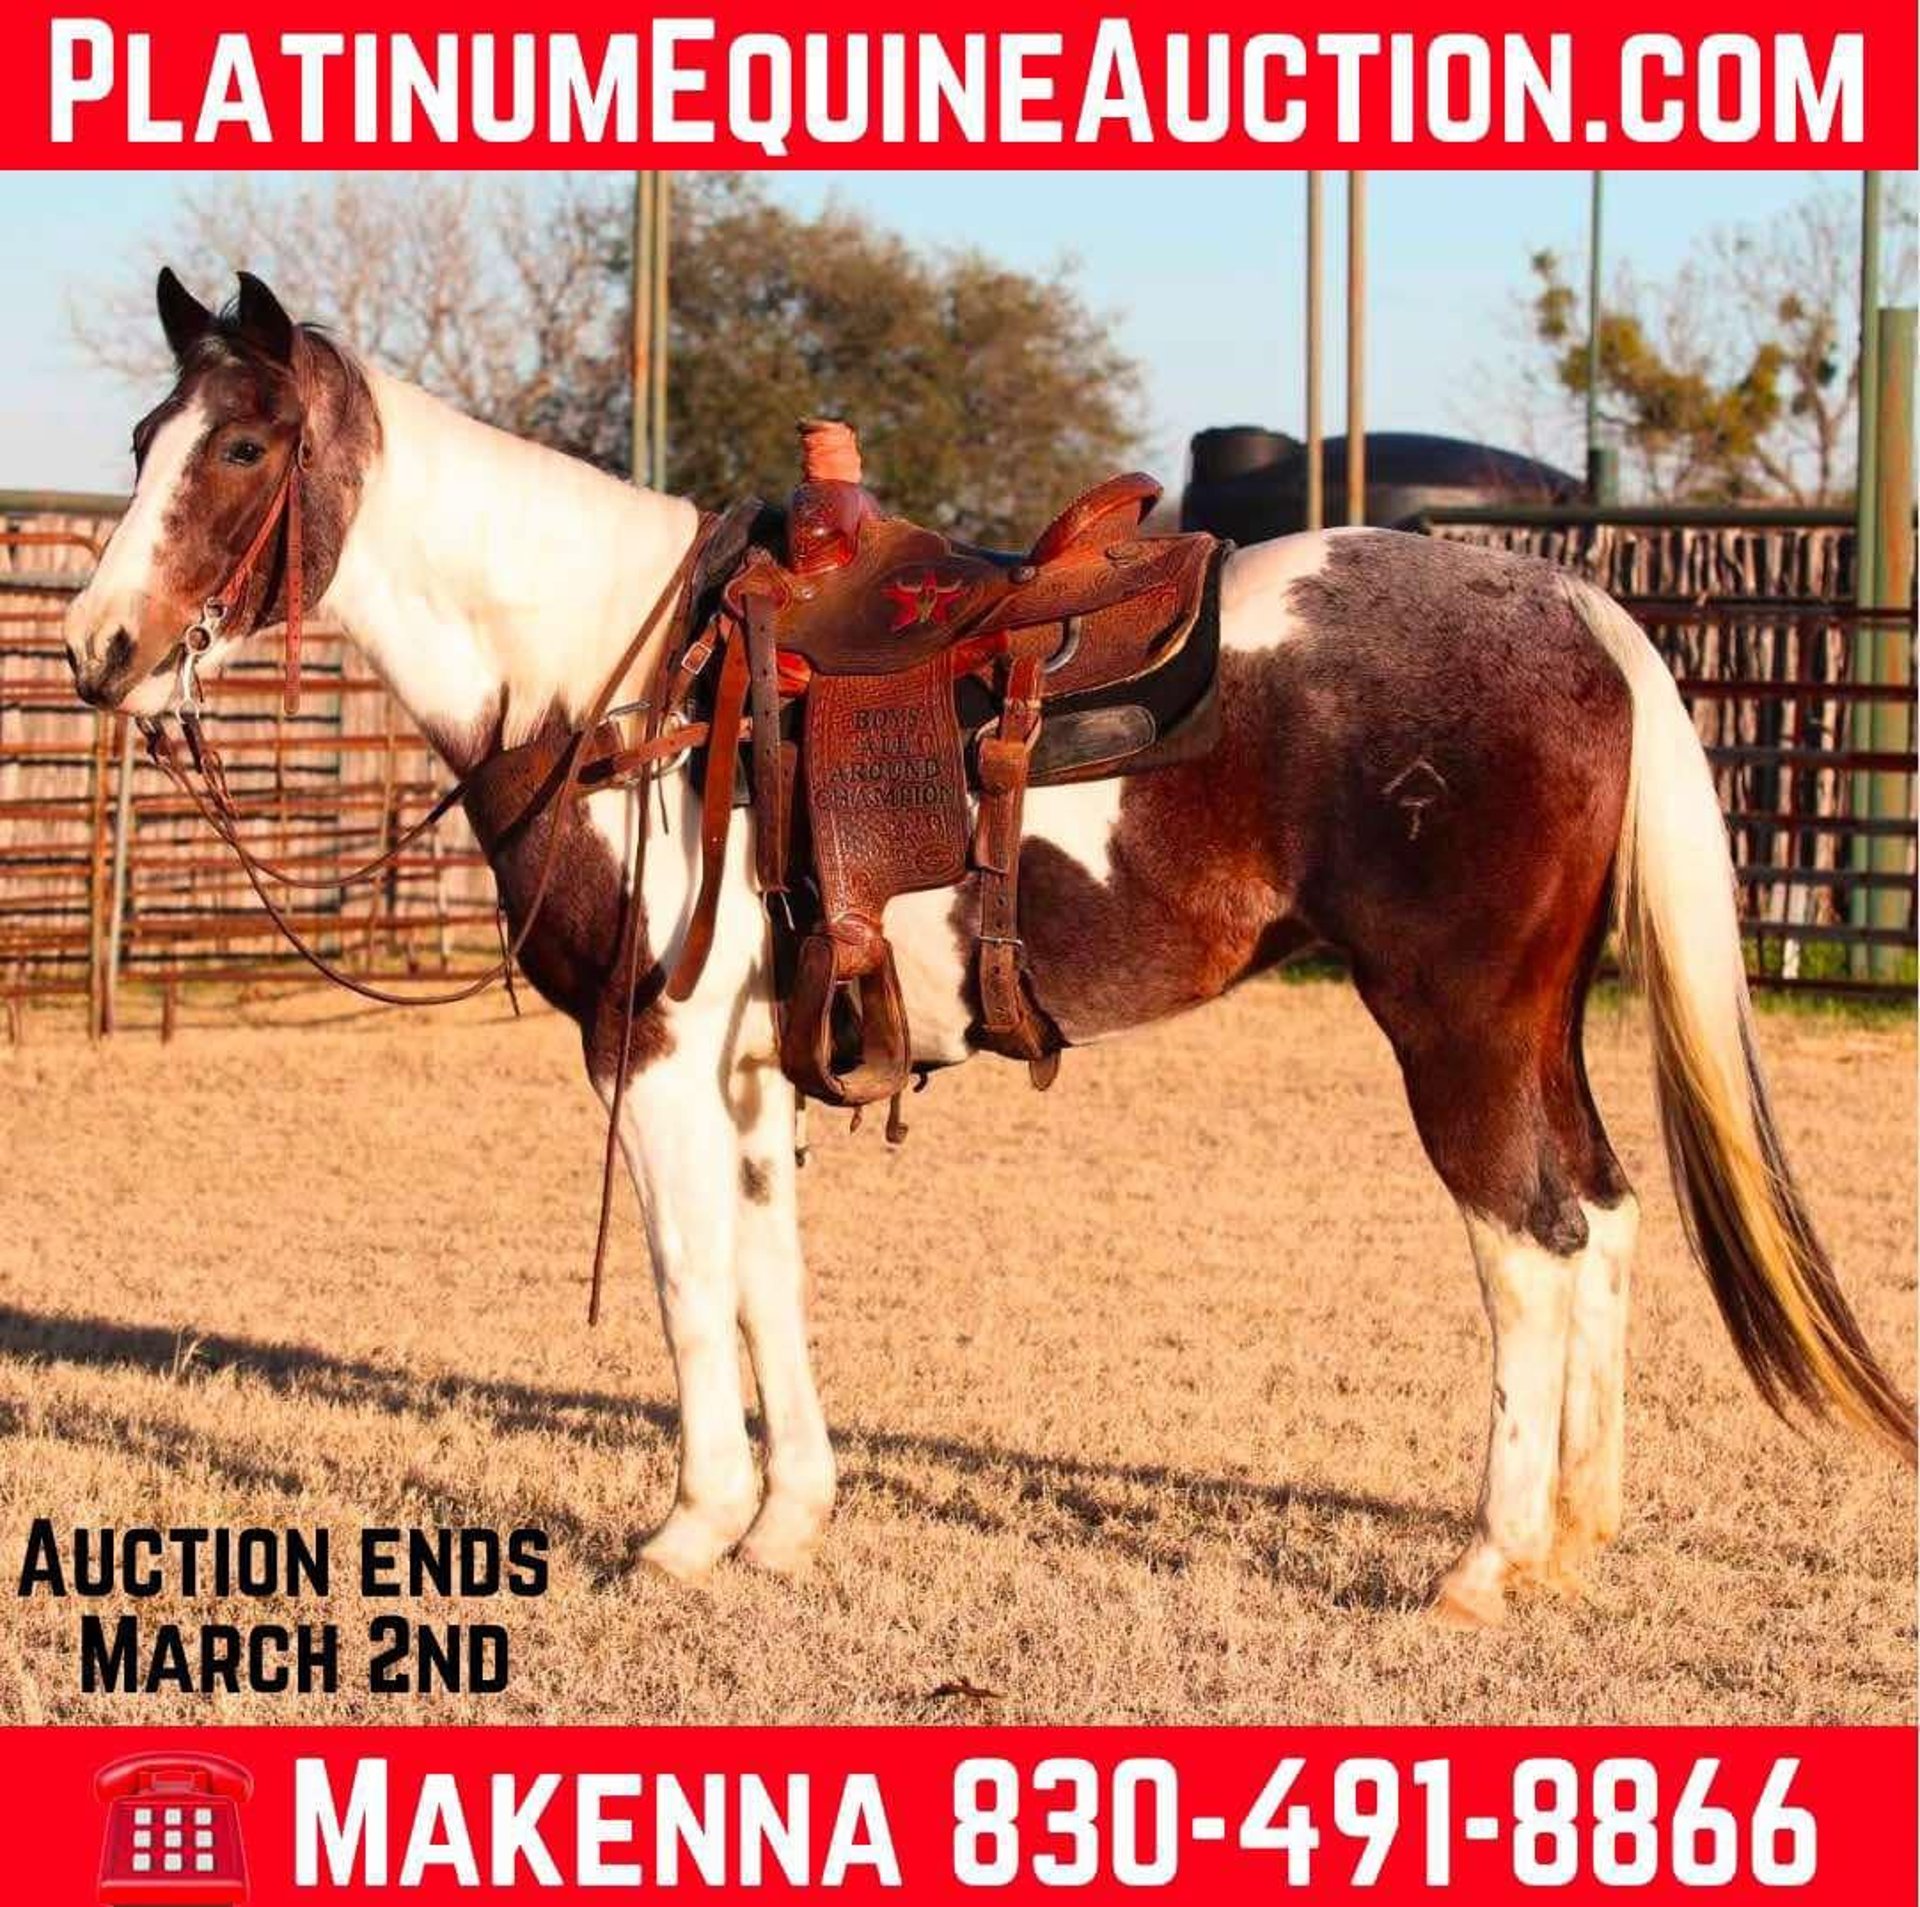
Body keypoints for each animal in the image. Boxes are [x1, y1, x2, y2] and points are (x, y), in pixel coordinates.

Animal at [64, 269, 1913, 1628]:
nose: (96, 647)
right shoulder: (751, 1067)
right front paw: (787, 1521)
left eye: (238, 451)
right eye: (143, 432)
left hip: (1452, 1023)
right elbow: (769, 1275)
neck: (624, 682)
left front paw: (688, 1529)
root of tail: (1573, 604)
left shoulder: (646, 1050)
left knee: (1529, 1244)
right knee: (1603, 1217)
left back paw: (1482, 1560)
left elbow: (684, 1282)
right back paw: (1580, 1532)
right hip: (1539, 1020)